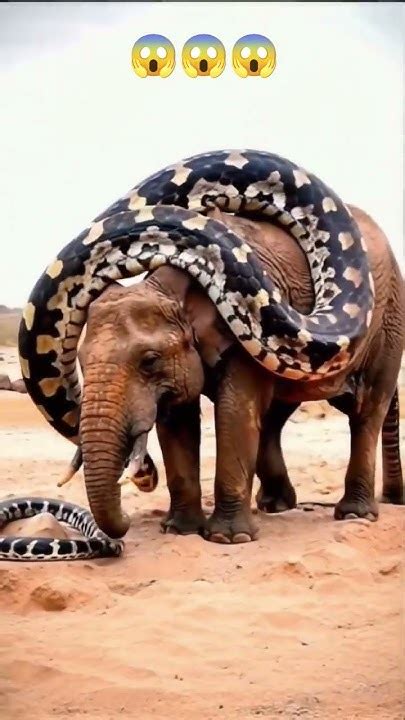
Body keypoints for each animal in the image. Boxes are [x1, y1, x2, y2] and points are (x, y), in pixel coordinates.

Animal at [62, 203, 404, 544]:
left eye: (149, 360)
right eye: (80, 361)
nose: (126, 520)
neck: (173, 286)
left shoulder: (236, 341)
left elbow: (234, 411)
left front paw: (228, 538)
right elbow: (176, 421)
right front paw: (180, 530)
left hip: (389, 322)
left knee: (367, 411)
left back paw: (354, 514)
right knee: (274, 417)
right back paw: (275, 506)